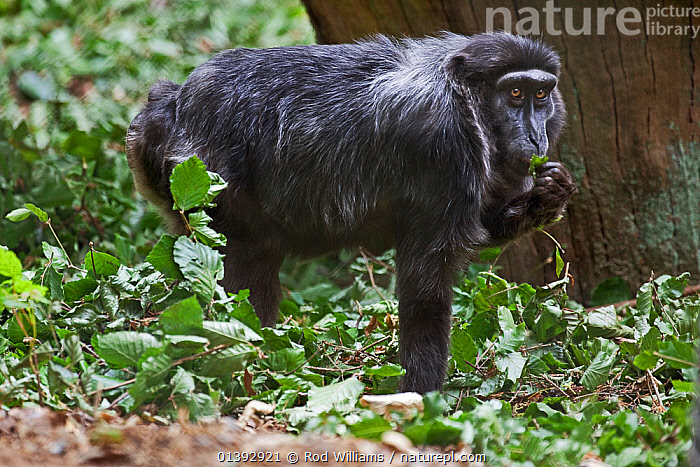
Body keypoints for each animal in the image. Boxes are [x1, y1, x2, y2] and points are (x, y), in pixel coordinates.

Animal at [126, 32, 576, 394]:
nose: (535, 135)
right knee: (241, 260)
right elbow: (426, 282)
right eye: (515, 94)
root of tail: (170, 102)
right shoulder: (444, 145)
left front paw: (547, 196)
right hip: (202, 173)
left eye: (540, 95)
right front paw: (421, 398)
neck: (464, 99)